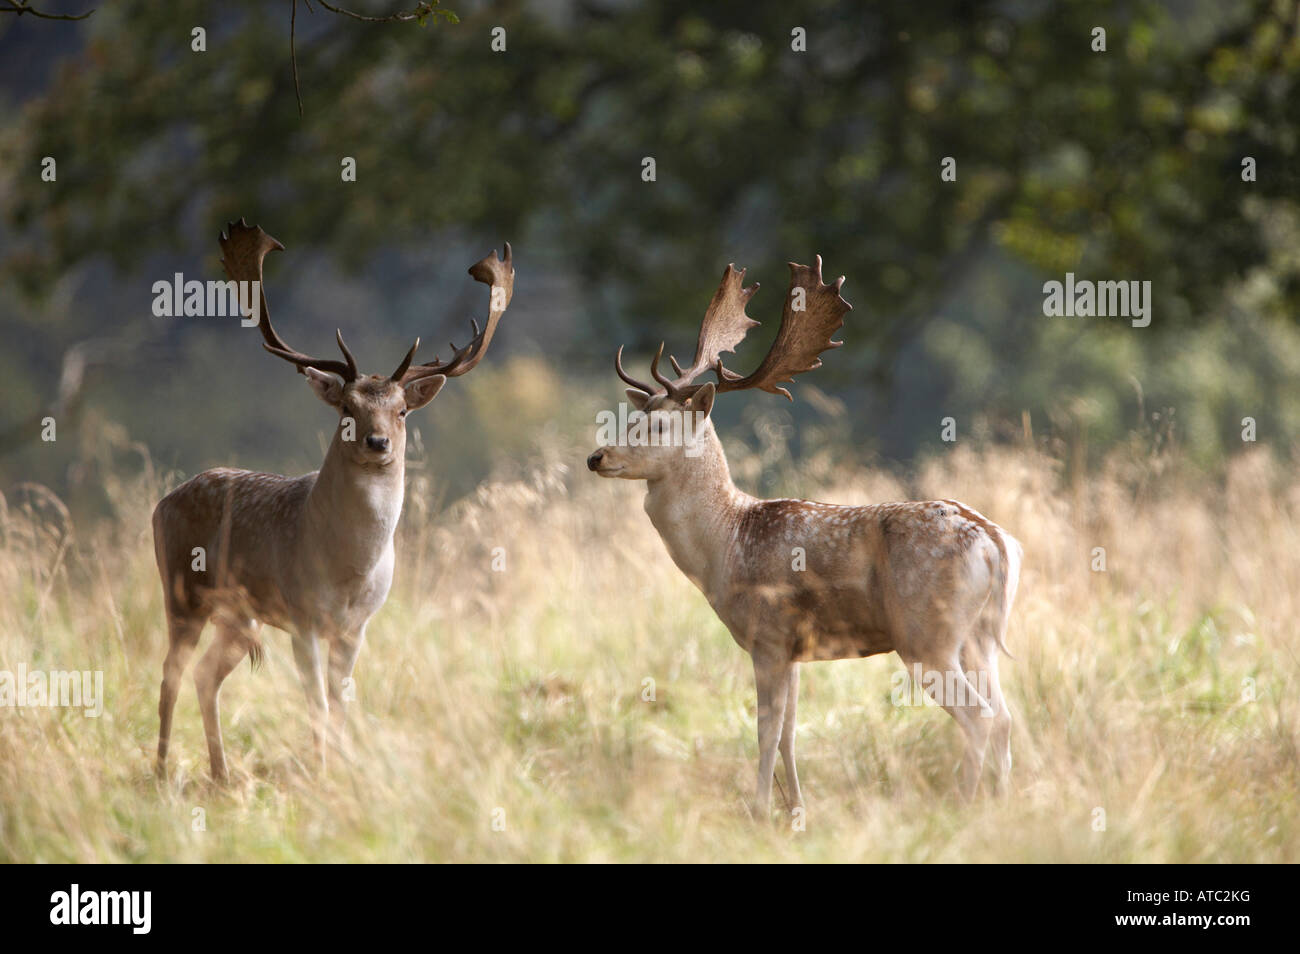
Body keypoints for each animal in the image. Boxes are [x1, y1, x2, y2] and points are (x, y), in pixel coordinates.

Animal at [152, 219, 514, 784]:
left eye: (403, 411)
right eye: (347, 407)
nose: (377, 442)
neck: (349, 570)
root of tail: (163, 501)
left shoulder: (357, 626)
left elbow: (341, 703)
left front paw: (337, 771)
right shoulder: (302, 617)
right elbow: (318, 704)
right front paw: (319, 773)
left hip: (240, 617)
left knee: (206, 675)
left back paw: (222, 775)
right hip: (182, 591)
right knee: (170, 673)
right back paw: (163, 770)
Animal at [587, 257, 1023, 814]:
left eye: (659, 426)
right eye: (632, 417)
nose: (597, 457)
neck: (727, 543)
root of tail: (995, 542)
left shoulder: (768, 636)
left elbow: (766, 732)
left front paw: (758, 810)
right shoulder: (795, 649)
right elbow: (791, 733)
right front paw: (796, 810)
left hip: (927, 633)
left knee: (980, 718)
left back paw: (965, 806)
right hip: (979, 636)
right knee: (1004, 716)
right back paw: (1002, 805)